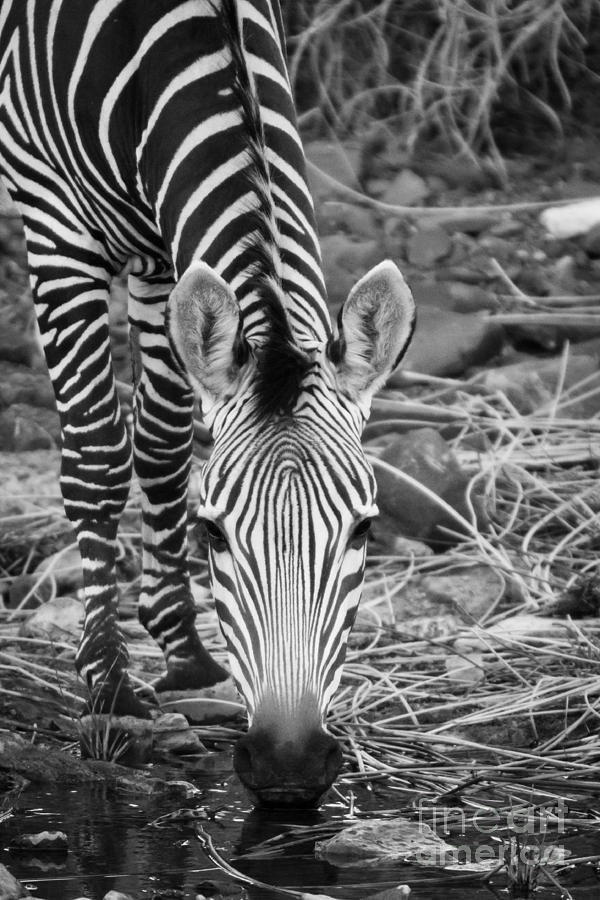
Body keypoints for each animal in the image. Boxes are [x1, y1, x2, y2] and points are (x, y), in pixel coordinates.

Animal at [0, 0, 415, 806]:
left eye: (365, 531)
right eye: (213, 534)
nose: (289, 767)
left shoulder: (165, 252)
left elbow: (162, 441)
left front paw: (185, 655)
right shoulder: (53, 217)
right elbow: (99, 452)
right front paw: (110, 684)